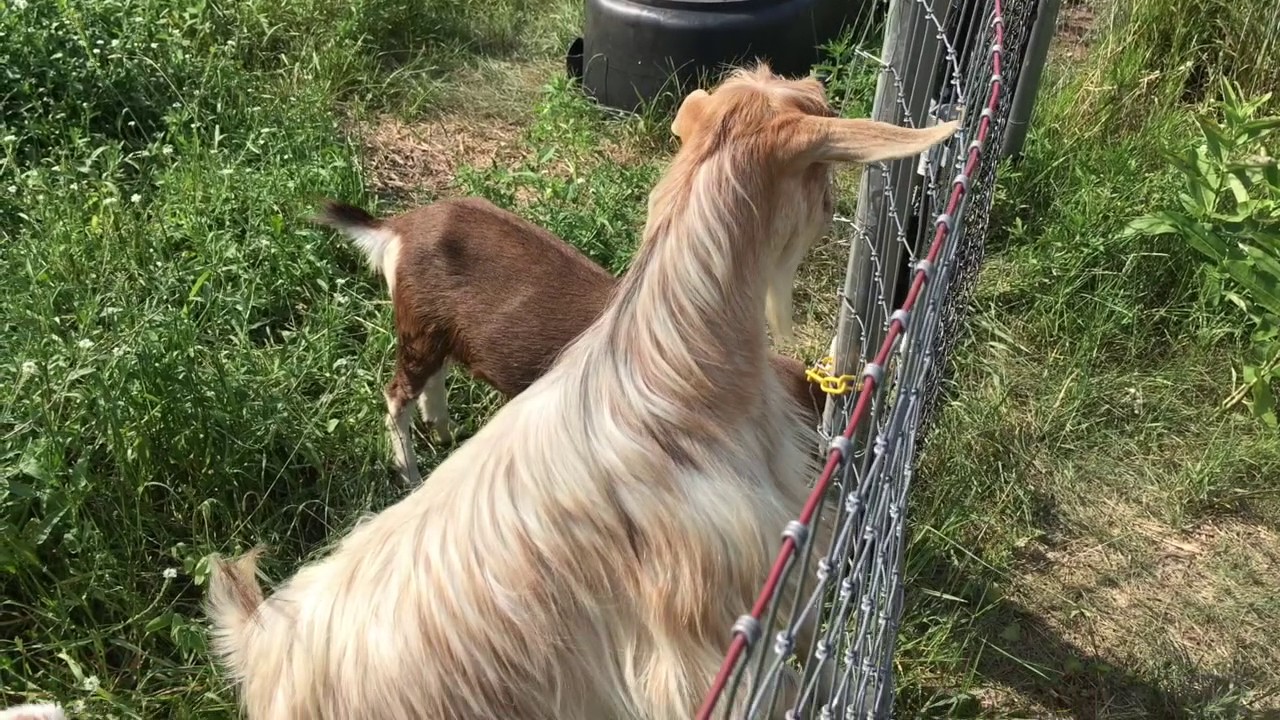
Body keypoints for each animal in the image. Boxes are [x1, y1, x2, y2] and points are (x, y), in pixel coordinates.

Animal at [313, 196, 828, 483]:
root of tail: (396, 228)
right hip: (418, 325)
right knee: (396, 392)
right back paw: (411, 472)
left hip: (434, 329)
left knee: (430, 381)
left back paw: (444, 433)